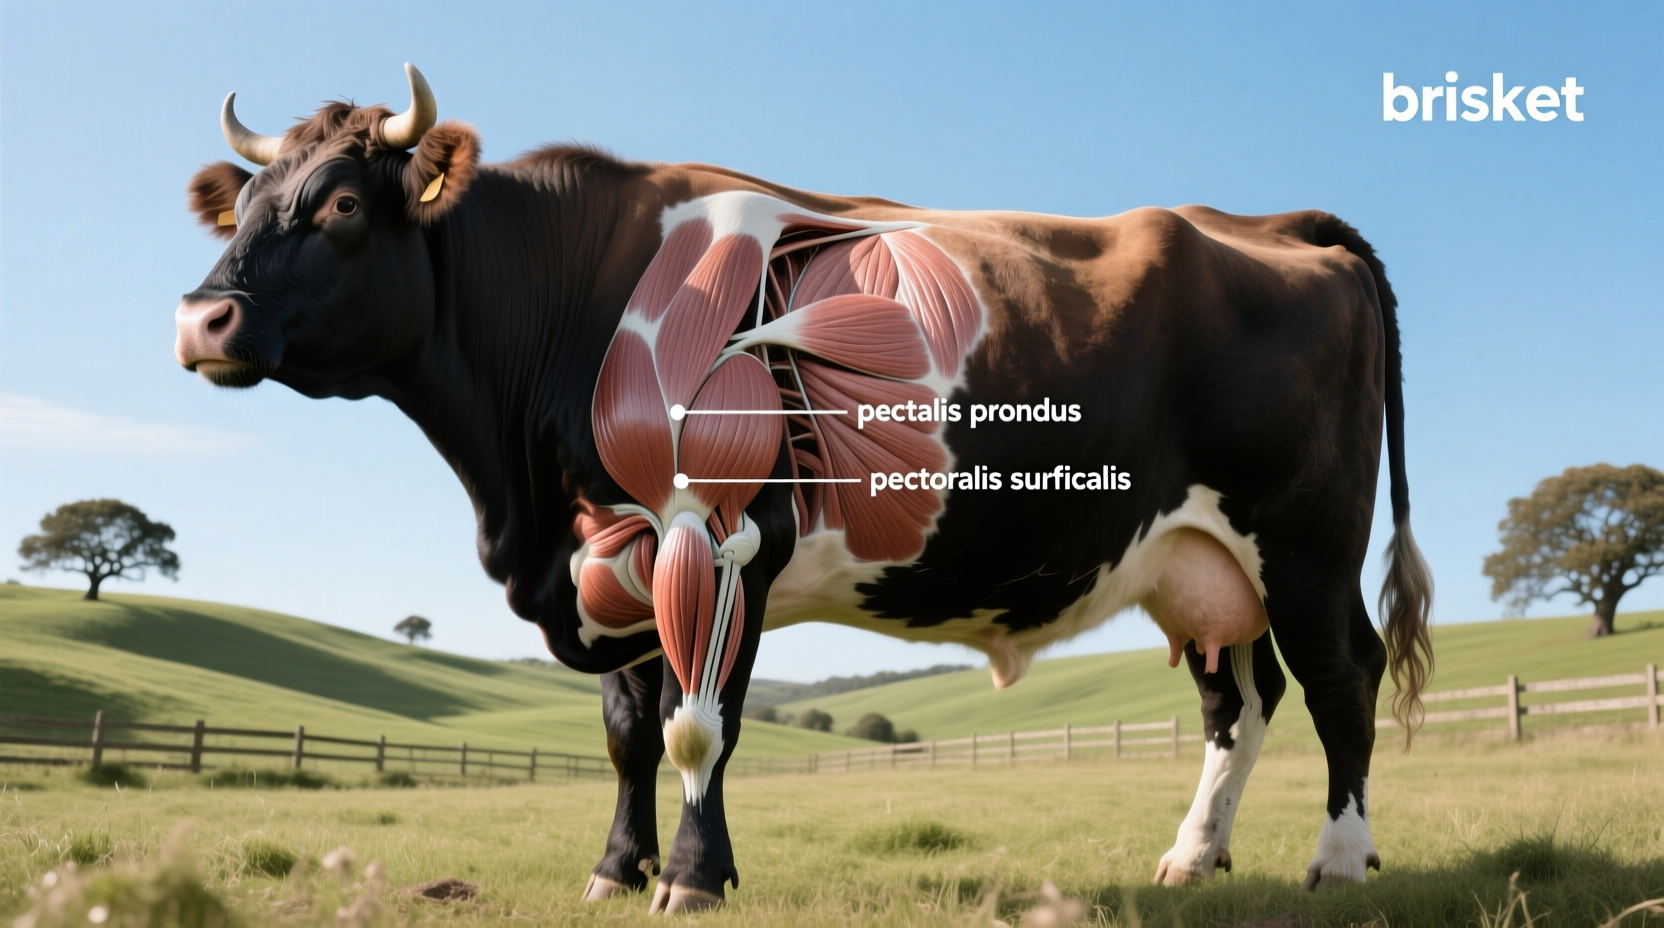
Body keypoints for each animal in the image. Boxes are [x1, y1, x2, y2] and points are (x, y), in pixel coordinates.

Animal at [175, 66, 1432, 911]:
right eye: (244, 204)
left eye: (342, 204)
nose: (202, 320)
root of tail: (1263, 223)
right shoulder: (601, 549)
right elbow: (626, 732)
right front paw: (615, 868)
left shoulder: (725, 532)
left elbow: (697, 724)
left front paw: (691, 878)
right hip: (1196, 562)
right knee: (1240, 699)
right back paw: (1190, 856)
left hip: (1304, 541)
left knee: (1341, 677)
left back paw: (1337, 860)